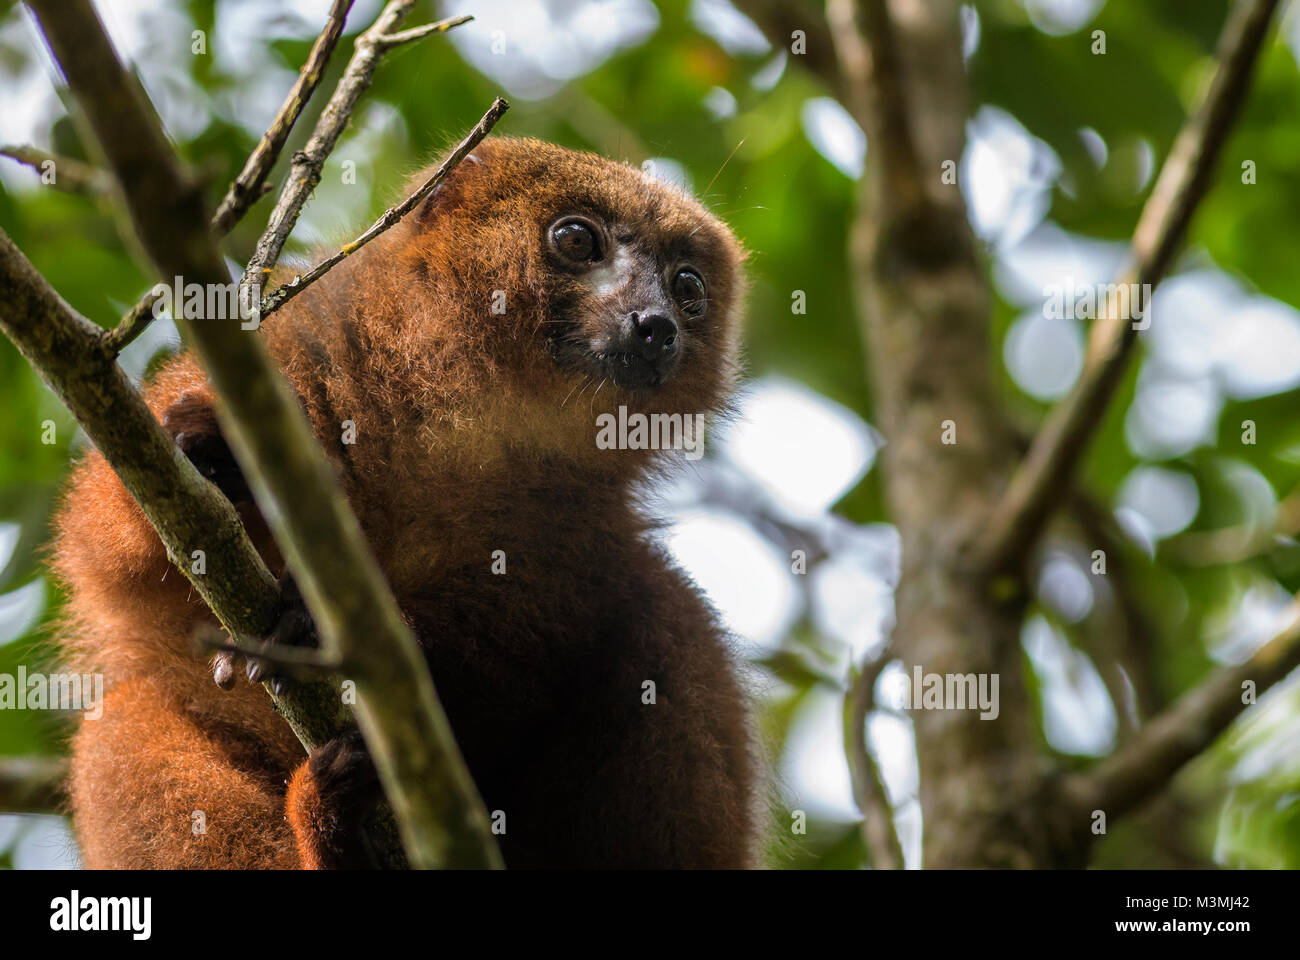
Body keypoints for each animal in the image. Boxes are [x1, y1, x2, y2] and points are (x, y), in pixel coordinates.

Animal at [52, 136, 759, 869]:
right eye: (576, 239)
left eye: (688, 288)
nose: (656, 324)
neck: (458, 417)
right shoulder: (290, 348)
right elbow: (109, 546)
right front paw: (212, 452)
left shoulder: (581, 526)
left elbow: (517, 647)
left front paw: (316, 628)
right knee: (123, 720)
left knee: (664, 606)